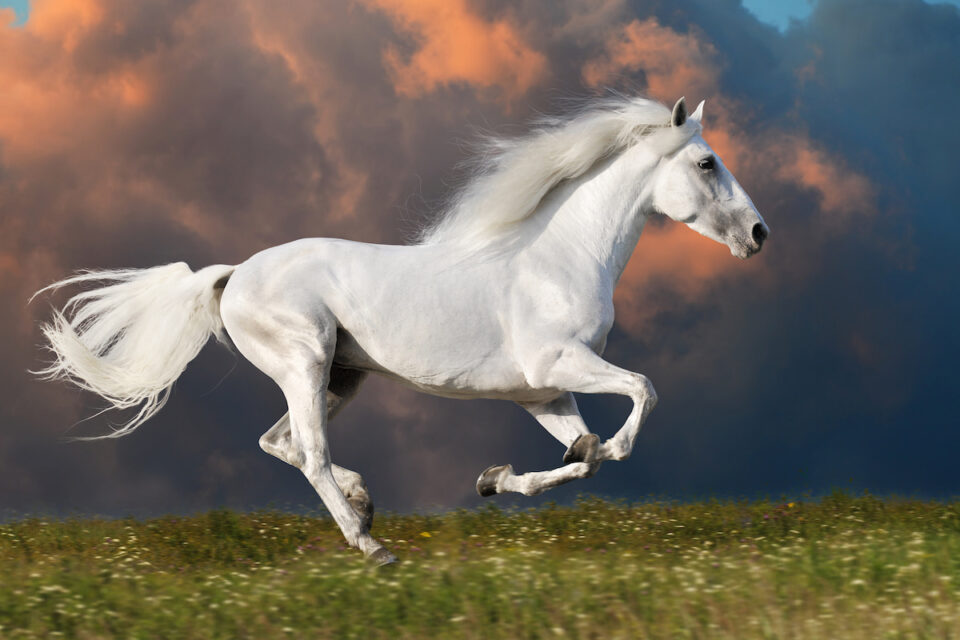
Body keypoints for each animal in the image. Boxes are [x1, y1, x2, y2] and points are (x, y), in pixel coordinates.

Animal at [34, 96, 768, 565]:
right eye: (706, 163)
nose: (759, 234)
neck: (558, 256)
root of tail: (234, 274)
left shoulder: (541, 392)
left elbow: (580, 455)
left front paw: (496, 479)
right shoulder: (559, 364)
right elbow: (639, 397)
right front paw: (591, 450)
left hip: (340, 378)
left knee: (282, 442)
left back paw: (364, 504)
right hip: (305, 363)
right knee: (309, 452)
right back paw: (370, 545)